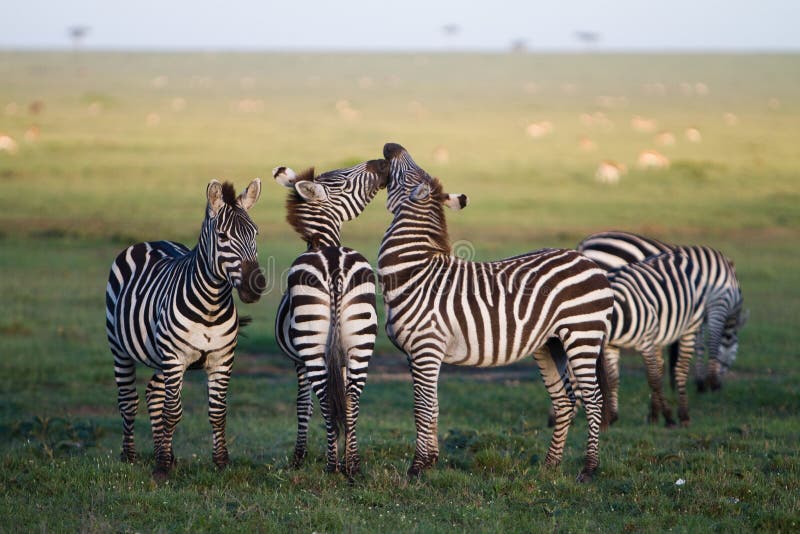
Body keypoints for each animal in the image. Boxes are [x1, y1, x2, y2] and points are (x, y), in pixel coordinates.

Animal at [106, 179, 265, 478]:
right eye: (223, 236)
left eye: (256, 234)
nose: (256, 285)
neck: (210, 307)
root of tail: (150, 242)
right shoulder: (175, 359)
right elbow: (173, 412)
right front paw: (161, 469)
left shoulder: (222, 360)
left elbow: (217, 412)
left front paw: (221, 462)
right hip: (120, 348)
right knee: (128, 399)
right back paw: (129, 456)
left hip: (160, 358)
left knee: (153, 393)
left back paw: (165, 452)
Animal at [272, 159, 387, 477]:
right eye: (343, 181)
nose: (381, 163)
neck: (322, 243)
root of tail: (334, 261)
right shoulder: (338, 356)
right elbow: (339, 397)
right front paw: (346, 453)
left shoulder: (297, 360)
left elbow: (304, 404)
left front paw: (298, 457)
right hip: (361, 338)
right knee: (351, 396)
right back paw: (352, 466)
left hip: (312, 344)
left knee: (325, 397)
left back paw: (332, 465)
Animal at [380, 143, 614, 482]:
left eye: (407, 170)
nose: (391, 146)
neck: (414, 271)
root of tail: (592, 264)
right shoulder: (417, 355)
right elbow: (431, 406)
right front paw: (431, 461)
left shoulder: (426, 348)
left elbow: (421, 408)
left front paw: (417, 467)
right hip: (550, 344)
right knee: (565, 401)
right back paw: (550, 465)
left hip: (582, 334)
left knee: (593, 401)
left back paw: (589, 469)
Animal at [578, 230, 746, 392]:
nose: (719, 386)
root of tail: (585, 243)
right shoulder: (718, 302)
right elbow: (713, 340)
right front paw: (709, 381)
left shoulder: (695, 311)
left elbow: (697, 344)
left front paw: (697, 383)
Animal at [604, 250, 744, 427]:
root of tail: (675, 254)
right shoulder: (610, 345)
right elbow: (612, 379)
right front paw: (612, 416)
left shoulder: (645, 342)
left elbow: (654, 379)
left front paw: (669, 417)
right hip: (659, 335)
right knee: (661, 367)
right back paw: (654, 414)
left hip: (691, 325)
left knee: (680, 369)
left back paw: (683, 415)